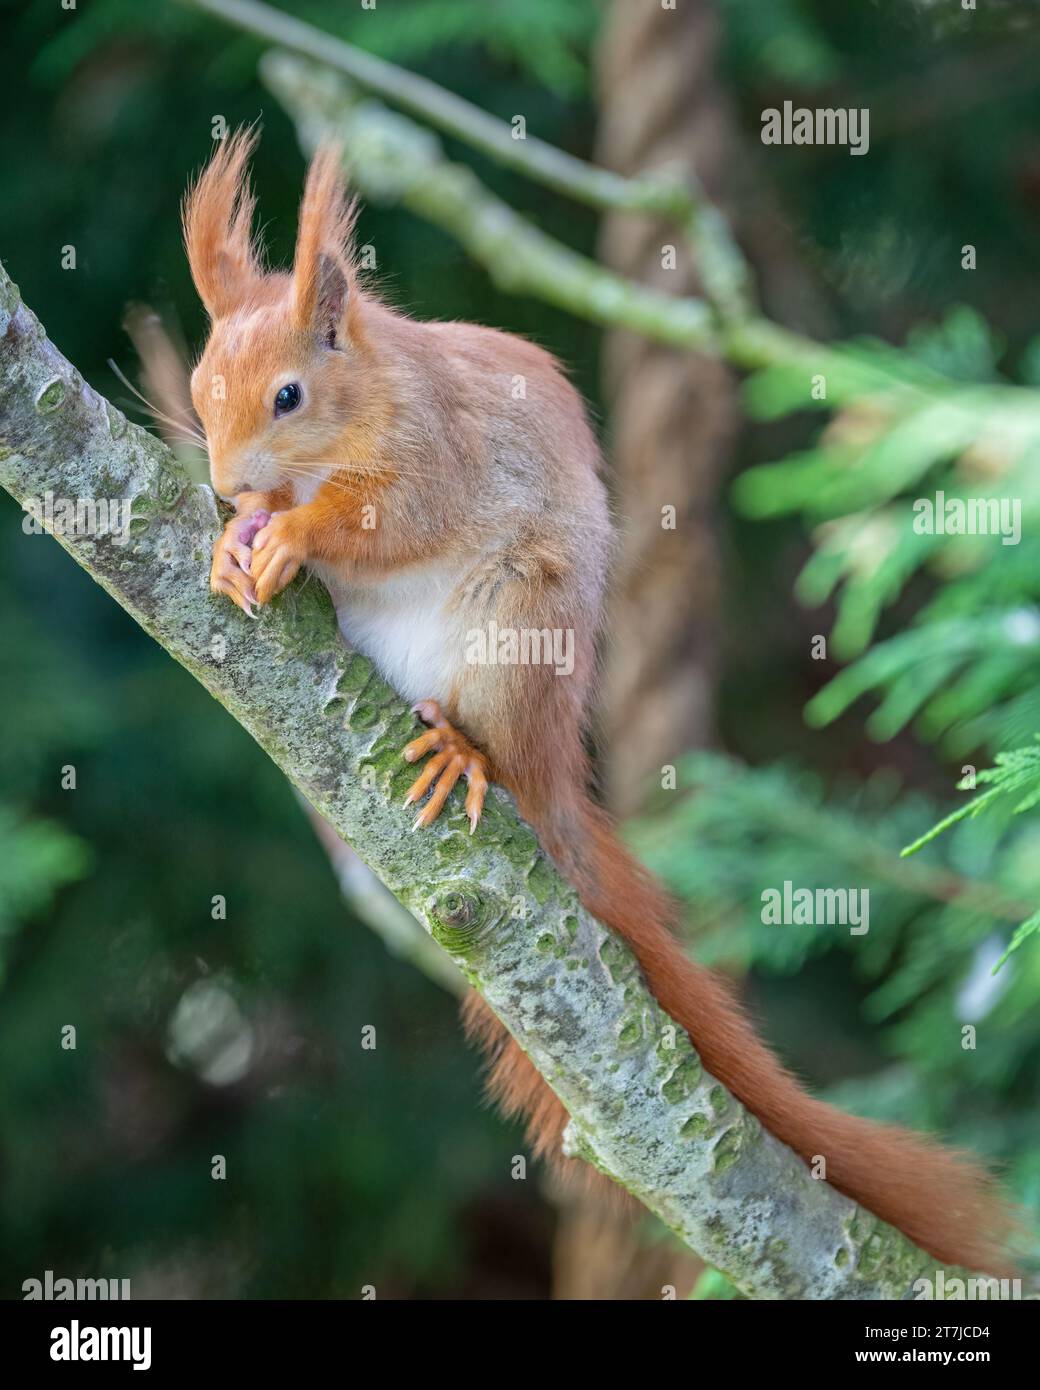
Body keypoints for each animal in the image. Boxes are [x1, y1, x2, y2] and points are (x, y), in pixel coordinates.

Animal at [175, 129, 1012, 1275]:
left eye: (290, 396)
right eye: (200, 386)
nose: (224, 484)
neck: (371, 393)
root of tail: (550, 770)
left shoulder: (439, 452)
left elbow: (386, 520)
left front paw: (292, 533)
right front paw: (237, 540)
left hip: (514, 632)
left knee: (491, 732)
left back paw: (467, 753)